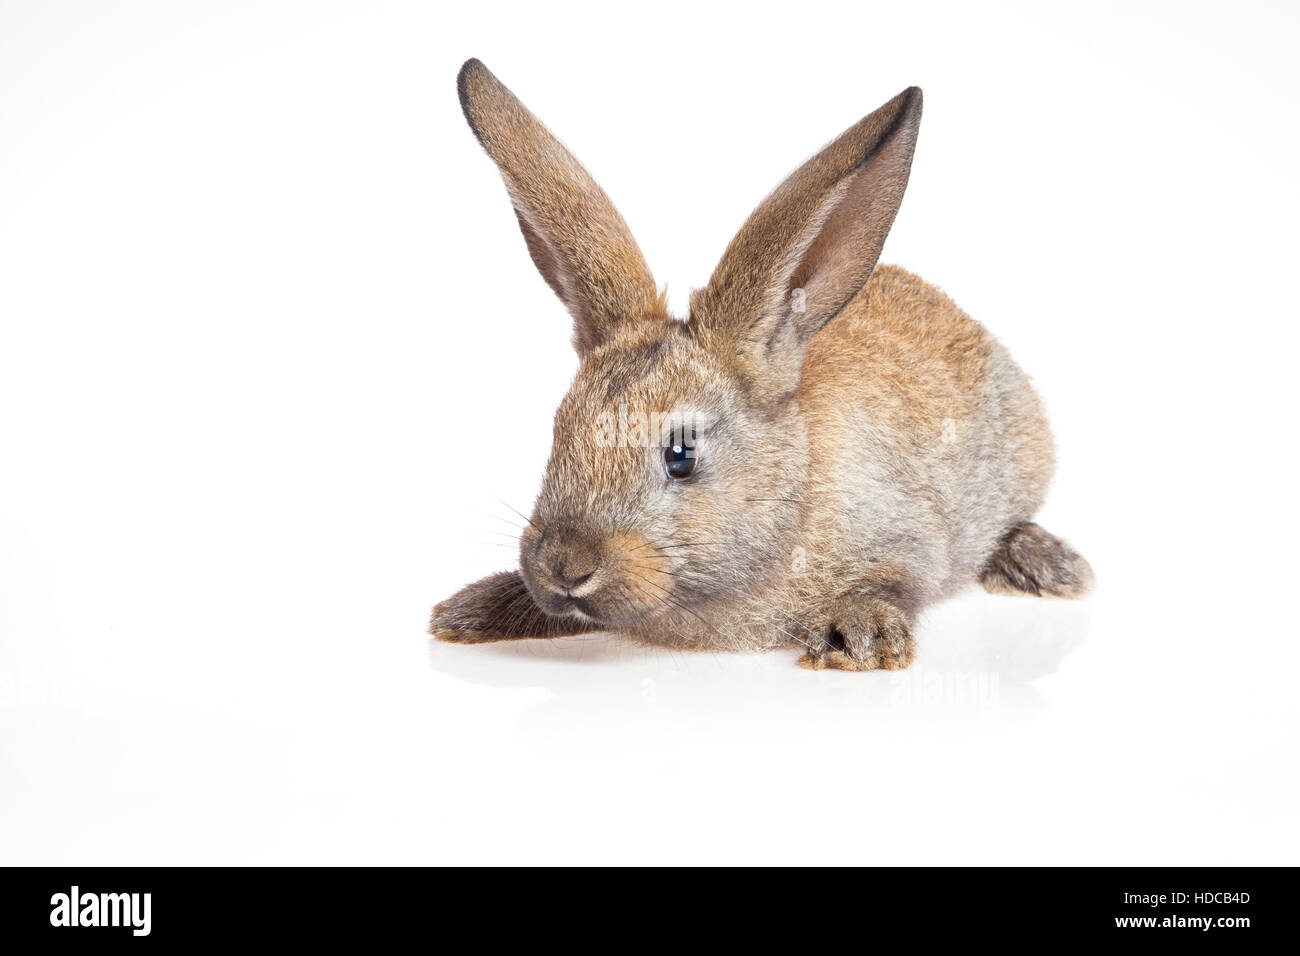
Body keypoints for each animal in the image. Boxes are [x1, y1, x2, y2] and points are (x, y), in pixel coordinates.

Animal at [431, 59, 1093, 671]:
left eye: (681, 454)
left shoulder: (909, 538)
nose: (566, 568)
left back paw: (1050, 567)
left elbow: (891, 581)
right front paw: (469, 612)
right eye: (558, 432)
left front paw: (861, 640)